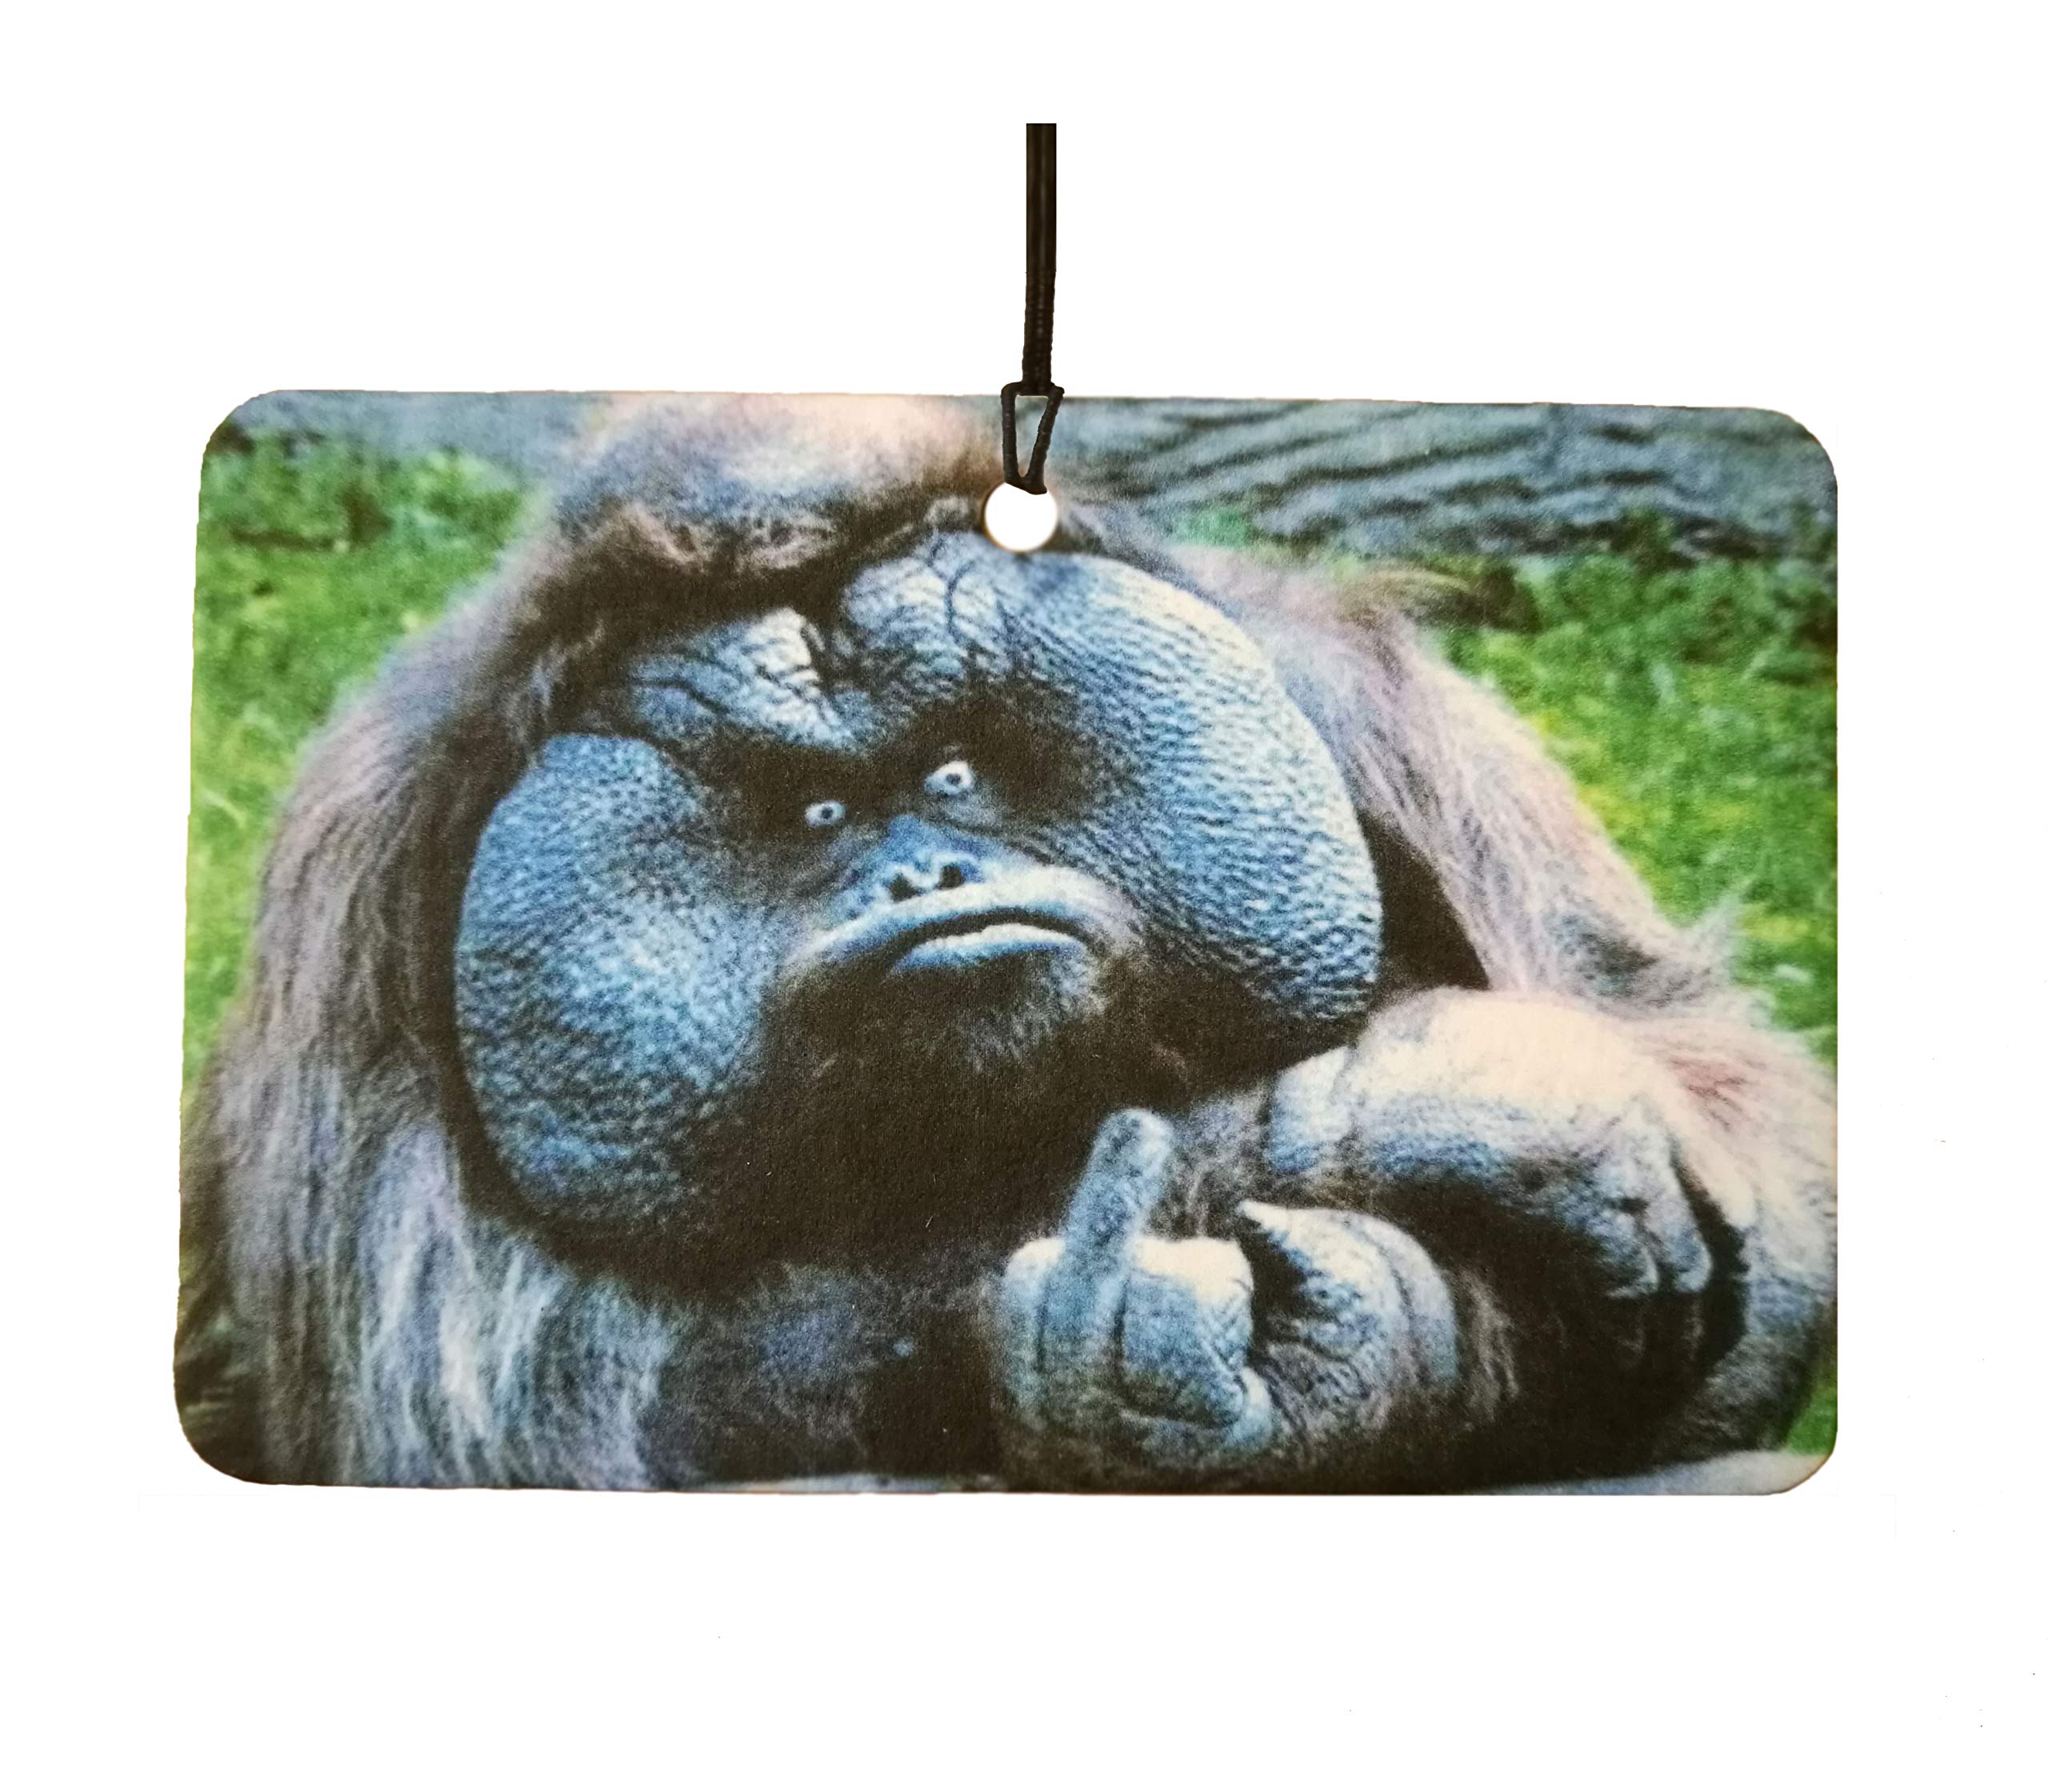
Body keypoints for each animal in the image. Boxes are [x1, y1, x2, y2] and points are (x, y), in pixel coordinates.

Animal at [176, 395, 1835, 1490]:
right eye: (822, 811)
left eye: (958, 774)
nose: (925, 873)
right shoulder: (360, 872)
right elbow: (503, 1393)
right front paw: (1414, 1118)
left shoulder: (1357, 694)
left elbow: (1753, 1204)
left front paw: (1349, 1334)